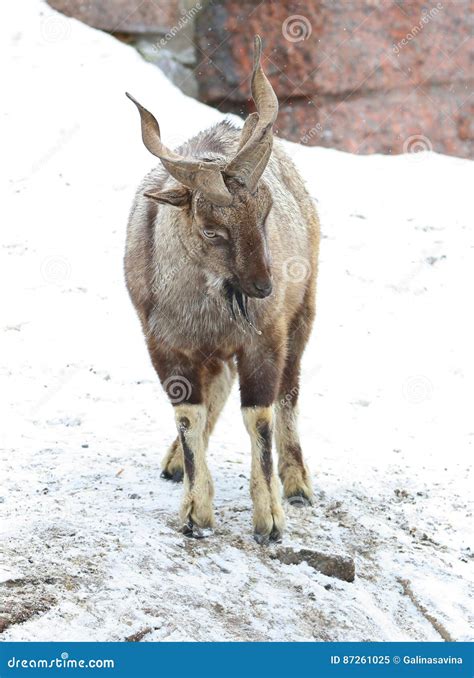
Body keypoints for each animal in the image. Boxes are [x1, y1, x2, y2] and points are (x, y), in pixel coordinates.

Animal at [125, 36, 320, 544]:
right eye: (211, 229)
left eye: (265, 210)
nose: (263, 286)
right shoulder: (166, 345)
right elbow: (189, 413)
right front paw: (195, 513)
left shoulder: (264, 340)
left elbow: (260, 415)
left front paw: (270, 519)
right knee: (217, 384)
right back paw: (174, 461)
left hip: (304, 313)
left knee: (290, 390)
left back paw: (297, 482)